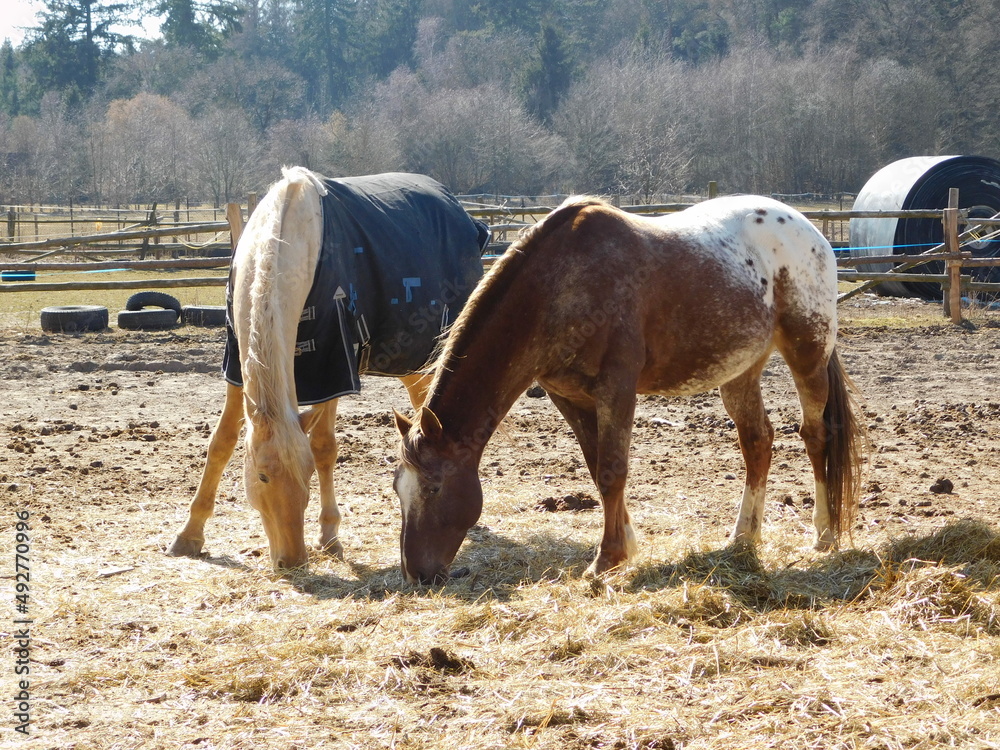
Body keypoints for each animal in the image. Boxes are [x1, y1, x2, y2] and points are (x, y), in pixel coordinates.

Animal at [168, 167, 488, 571]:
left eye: (305, 476)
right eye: (262, 477)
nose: (292, 560)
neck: (288, 237)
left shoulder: (333, 364)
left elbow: (322, 447)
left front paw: (330, 536)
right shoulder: (237, 367)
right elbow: (222, 442)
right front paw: (189, 534)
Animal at [393, 194, 865, 584]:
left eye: (434, 488)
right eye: (399, 489)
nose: (417, 574)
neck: (560, 284)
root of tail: (811, 231)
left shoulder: (616, 388)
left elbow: (612, 470)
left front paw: (607, 559)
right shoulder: (569, 396)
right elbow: (596, 467)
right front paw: (625, 544)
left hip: (807, 353)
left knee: (815, 436)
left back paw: (824, 535)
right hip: (739, 371)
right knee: (758, 443)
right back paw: (742, 537)